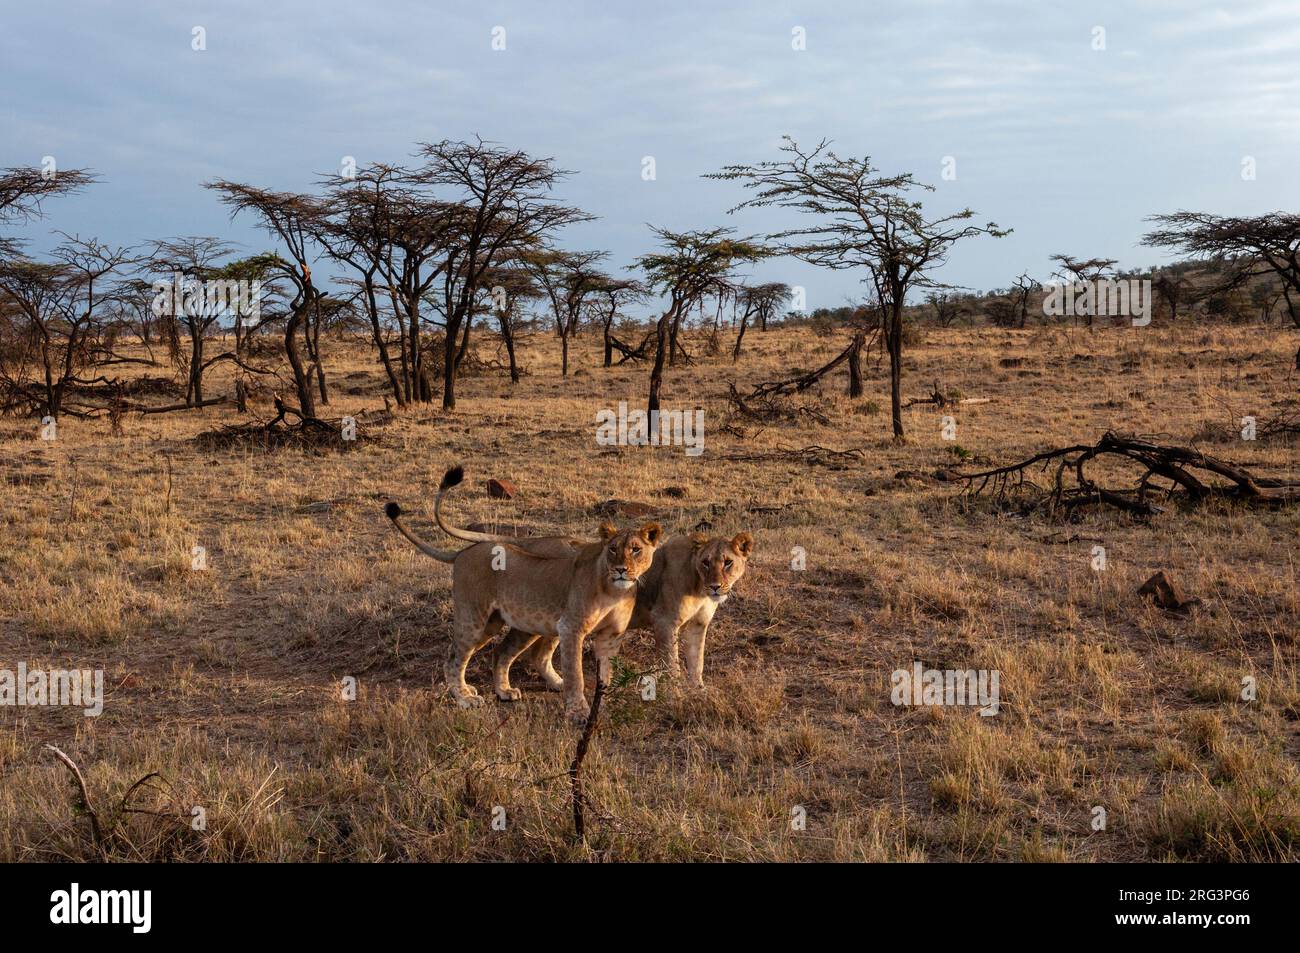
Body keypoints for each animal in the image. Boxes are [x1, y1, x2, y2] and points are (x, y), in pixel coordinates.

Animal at [385, 468, 660, 724]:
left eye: (636, 549)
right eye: (612, 549)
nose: (621, 569)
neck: (614, 590)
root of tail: (462, 552)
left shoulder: (610, 635)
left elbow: (606, 674)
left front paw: (599, 707)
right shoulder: (571, 627)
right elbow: (576, 674)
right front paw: (578, 713)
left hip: (508, 622)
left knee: (502, 652)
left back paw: (504, 691)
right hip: (473, 618)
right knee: (454, 657)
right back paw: (464, 698)